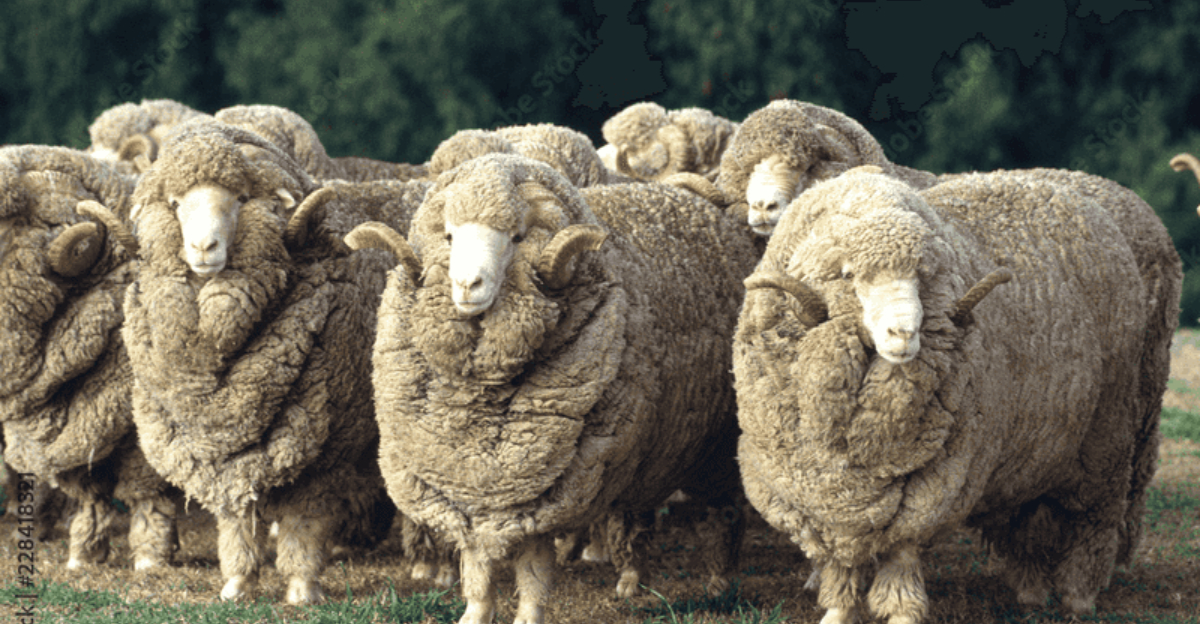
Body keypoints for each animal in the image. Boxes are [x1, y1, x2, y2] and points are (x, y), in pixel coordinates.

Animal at [0, 144, 181, 570]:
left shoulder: (144, 427)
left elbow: (148, 493)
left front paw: (150, 556)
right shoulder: (82, 430)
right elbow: (92, 497)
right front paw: (84, 553)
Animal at [120, 119, 420, 604]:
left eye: (241, 199)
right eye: (176, 203)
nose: (203, 247)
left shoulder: (325, 445)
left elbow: (303, 521)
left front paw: (301, 588)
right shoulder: (225, 450)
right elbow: (237, 518)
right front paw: (237, 584)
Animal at [345, 153, 759, 624]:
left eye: (517, 236)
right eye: (449, 235)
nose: (467, 285)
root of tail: (696, 201)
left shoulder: (542, 488)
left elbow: (532, 568)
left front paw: (527, 613)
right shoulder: (471, 491)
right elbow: (477, 567)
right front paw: (475, 611)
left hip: (718, 446)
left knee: (724, 512)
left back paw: (719, 581)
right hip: (648, 453)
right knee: (636, 510)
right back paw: (632, 580)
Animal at [732, 166, 1180, 623]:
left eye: (922, 277)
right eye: (848, 275)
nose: (904, 333)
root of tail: (1071, 191)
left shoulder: (936, 482)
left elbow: (901, 557)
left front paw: (901, 612)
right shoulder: (822, 497)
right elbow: (841, 564)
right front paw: (838, 609)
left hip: (1107, 436)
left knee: (1094, 521)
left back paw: (1079, 596)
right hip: (1038, 447)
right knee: (1030, 519)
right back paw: (1032, 590)